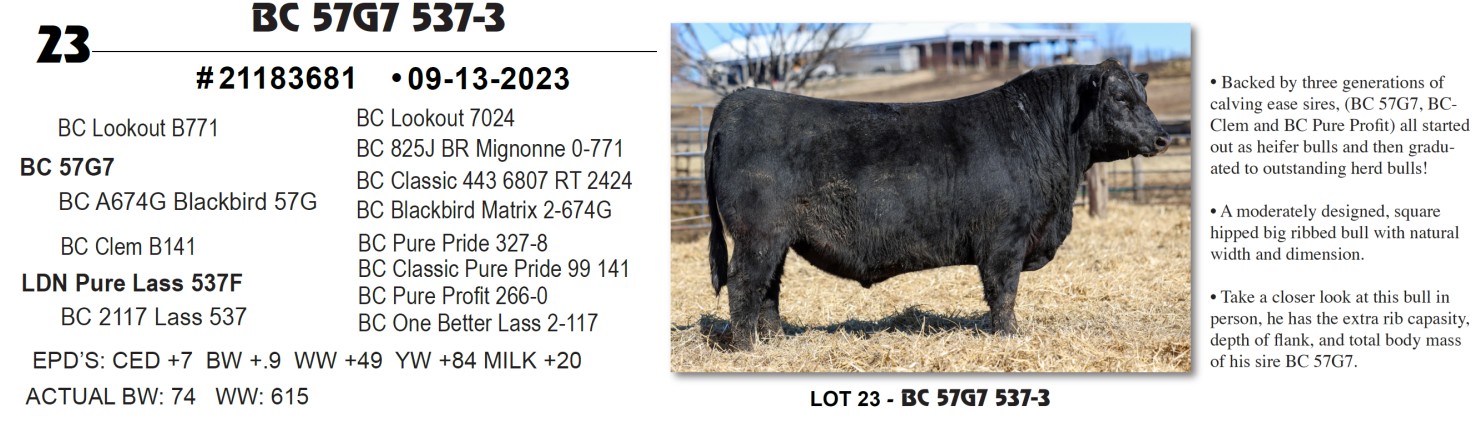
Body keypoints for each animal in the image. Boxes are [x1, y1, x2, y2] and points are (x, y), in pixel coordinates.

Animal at [703, 58, 1170, 350]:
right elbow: (1003, 292)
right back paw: (747, 349)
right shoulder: (1005, 239)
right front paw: (1008, 336)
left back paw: (776, 343)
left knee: (768, 290)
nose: (1163, 136)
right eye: (1121, 98)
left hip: (777, 241)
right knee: (745, 284)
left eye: (1143, 96)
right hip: (757, 237)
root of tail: (737, 99)